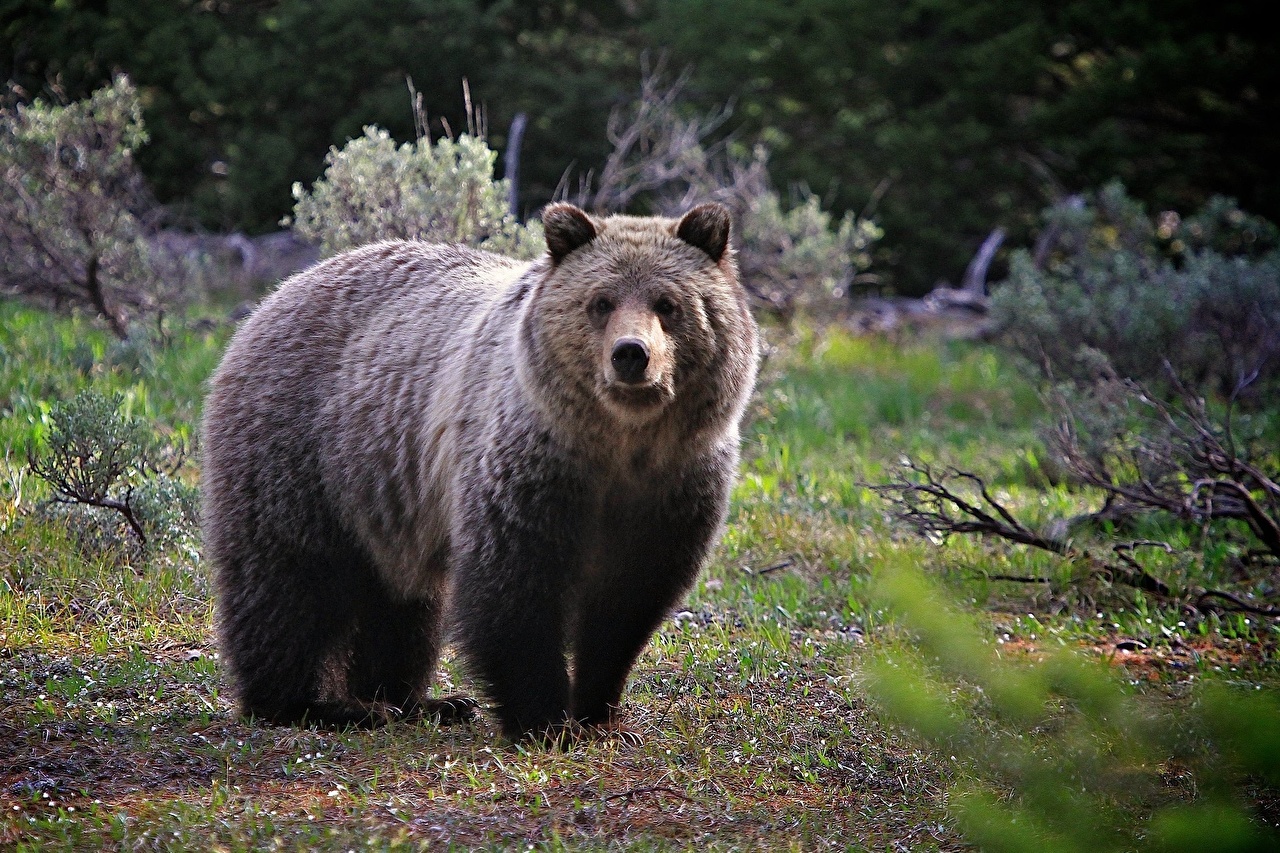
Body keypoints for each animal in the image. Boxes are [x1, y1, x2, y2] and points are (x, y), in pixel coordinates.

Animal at [200, 202, 758, 741]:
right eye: (601, 302)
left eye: (668, 304)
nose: (630, 354)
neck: (618, 444)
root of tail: (277, 294)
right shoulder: (528, 465)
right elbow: (514, 587)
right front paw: (544, 719)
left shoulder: (674, 483)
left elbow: (629, 601)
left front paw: (599, 712)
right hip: (304, 452)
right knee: (288, 580)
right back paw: (316, 705)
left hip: (386, 499)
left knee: (403, 603)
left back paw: (416, 702)